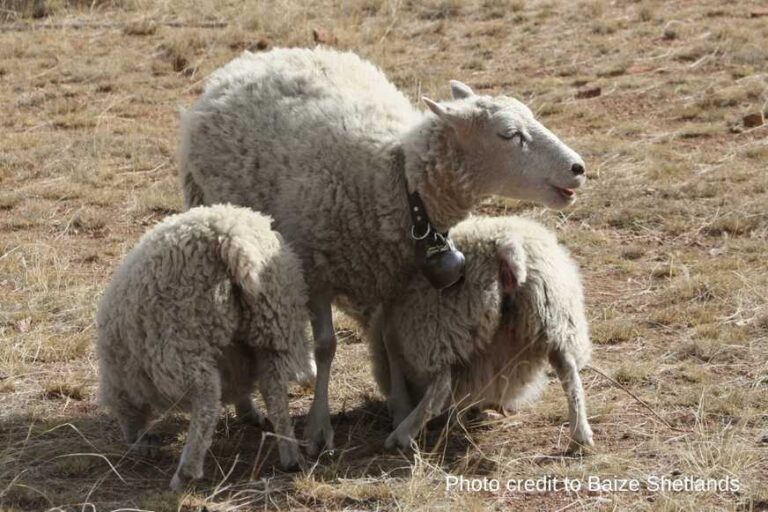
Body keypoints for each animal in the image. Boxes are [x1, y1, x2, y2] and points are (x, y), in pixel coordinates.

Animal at [96, 205, 312, 490]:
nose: (134, 443)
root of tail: (231, 238)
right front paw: (248, 412)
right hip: (274, 324)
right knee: (275, 394)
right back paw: (291, 457)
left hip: (182, 338)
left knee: (208, 400)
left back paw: (185, 472)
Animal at [368, 216, 594, 453]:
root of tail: (506, 247)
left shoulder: (398, 323)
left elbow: (391, 348)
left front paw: (400, 410)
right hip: (552, 316)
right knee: (569, 371)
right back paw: (580, 434)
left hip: (441, 321)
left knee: (441, 384)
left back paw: (402, 434)